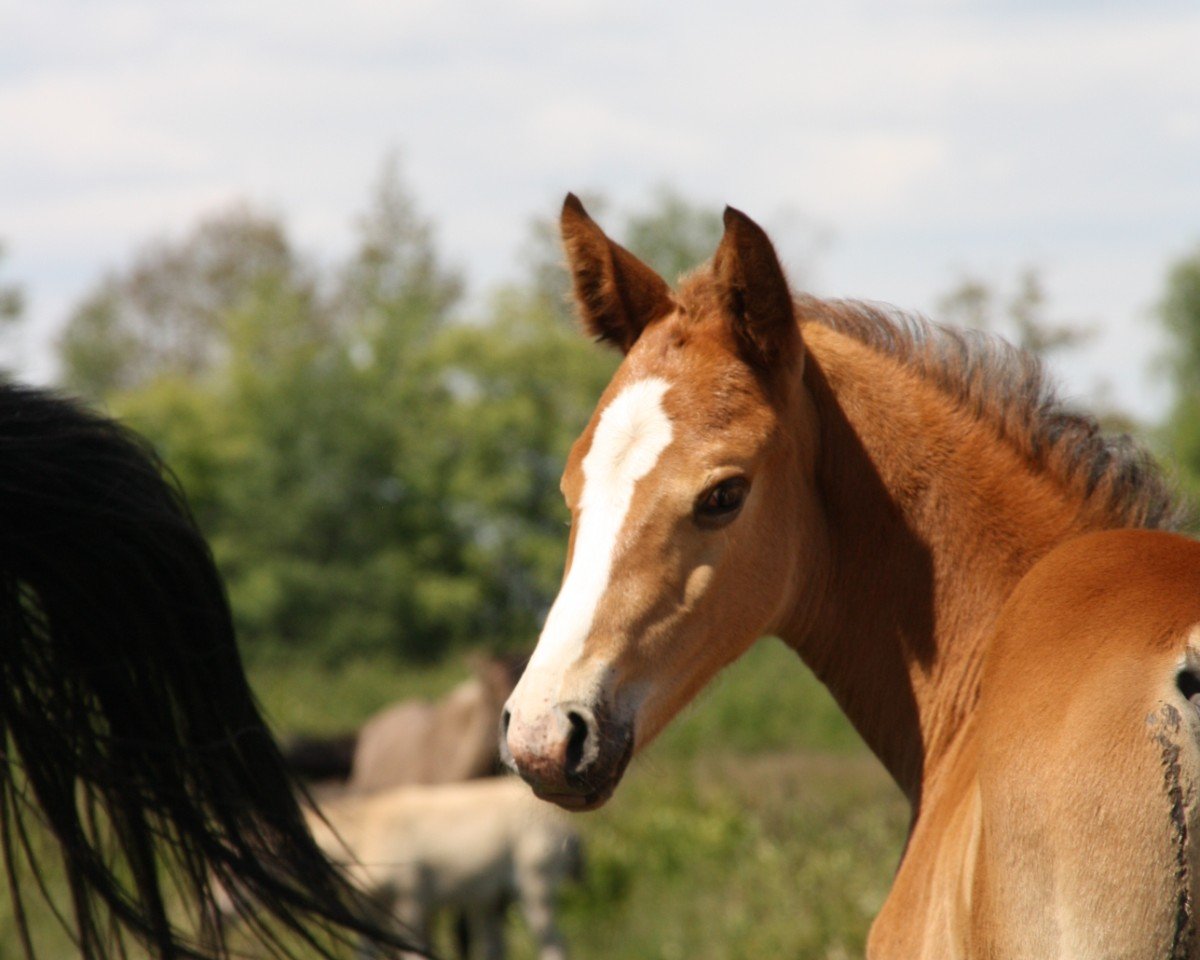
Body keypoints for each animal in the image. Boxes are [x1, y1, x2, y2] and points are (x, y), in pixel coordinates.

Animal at [217, 778, 580, 960]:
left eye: (239, 864)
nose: (219, 911)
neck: (364, 832)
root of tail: (569, 830)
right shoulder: (370, 907)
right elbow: (366, 952)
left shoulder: (412, 899)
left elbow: (412, 949)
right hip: (491, 899)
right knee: (494, 945)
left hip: (535, 885)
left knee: (554, 942)